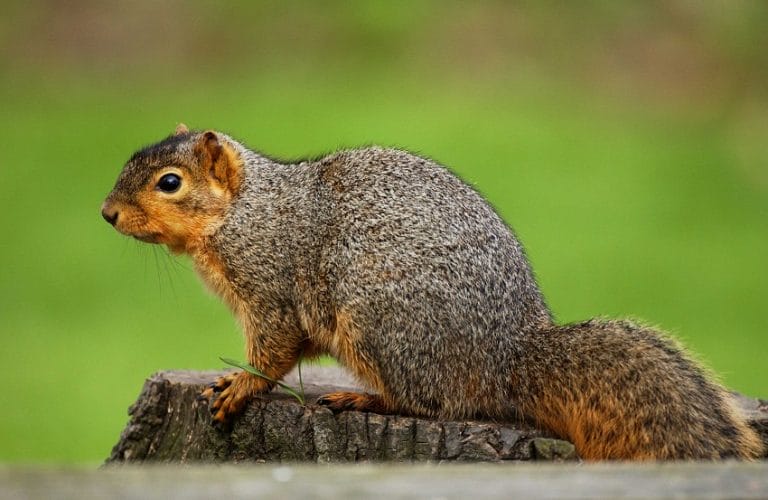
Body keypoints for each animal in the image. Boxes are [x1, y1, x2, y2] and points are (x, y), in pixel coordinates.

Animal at [102, 124, 763, 460]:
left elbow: (274, 350)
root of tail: (507, 357)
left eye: (169, 182)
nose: (107, 214)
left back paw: (362, 399)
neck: (242, 213)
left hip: (378, 322)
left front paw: (240, 386)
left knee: (430, 402)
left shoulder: (272, 285)